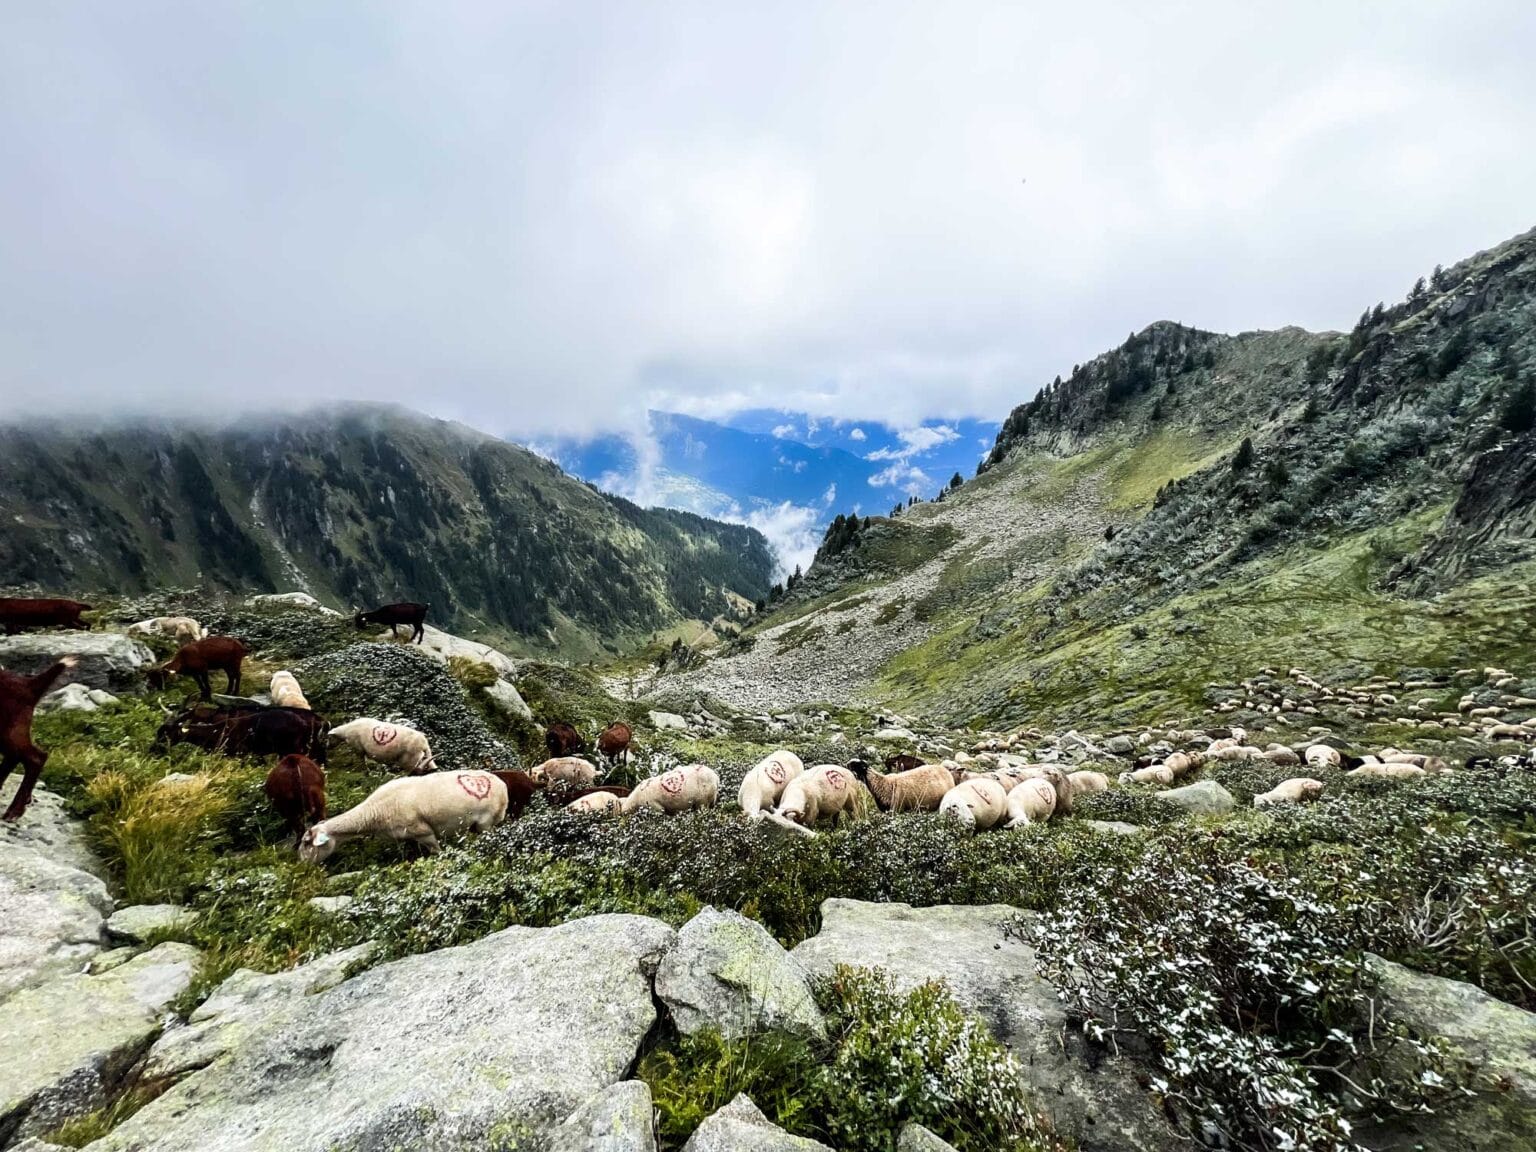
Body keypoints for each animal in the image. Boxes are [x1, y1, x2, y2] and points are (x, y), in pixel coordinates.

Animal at [298, 770, 507, 862]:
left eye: (307, 843)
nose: (301, 863)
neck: (374, 811)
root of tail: (502, 785)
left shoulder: (423, 832)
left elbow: (437, 851)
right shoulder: (406, 837)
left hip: (487, 823)